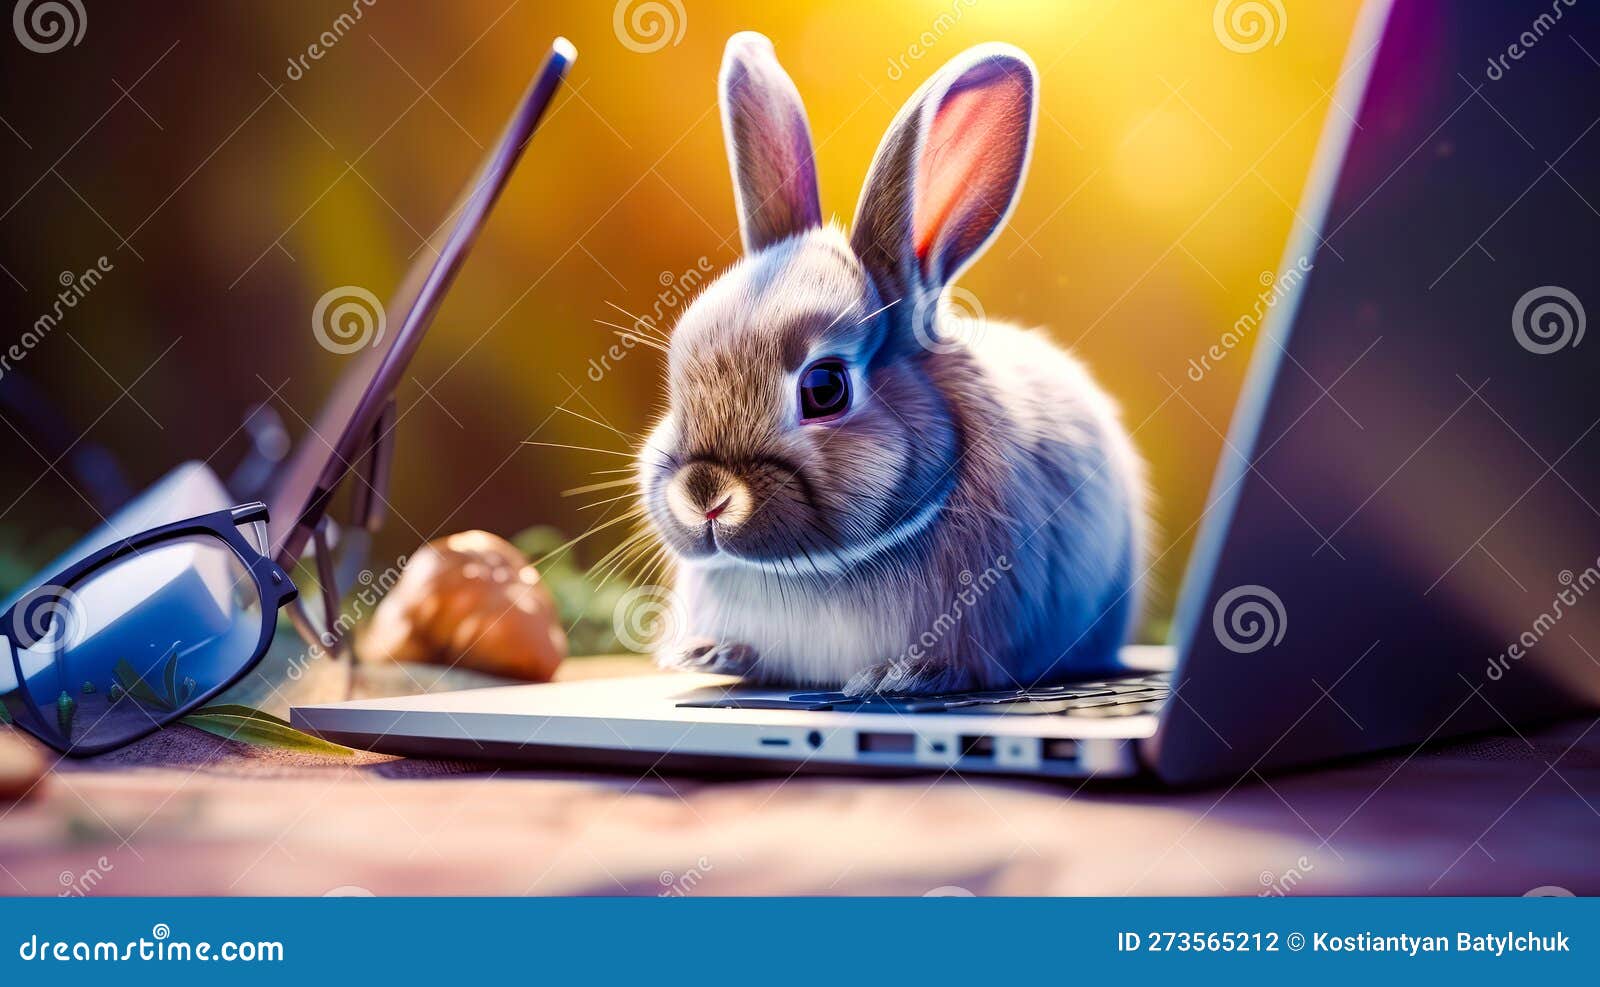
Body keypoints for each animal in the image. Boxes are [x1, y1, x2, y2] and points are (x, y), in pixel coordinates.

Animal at [635, 32, 1146, 695]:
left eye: (825, 388)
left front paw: (896, 677)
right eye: (677, 370)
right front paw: (710, 654)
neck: (809, 574)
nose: (705, 495)